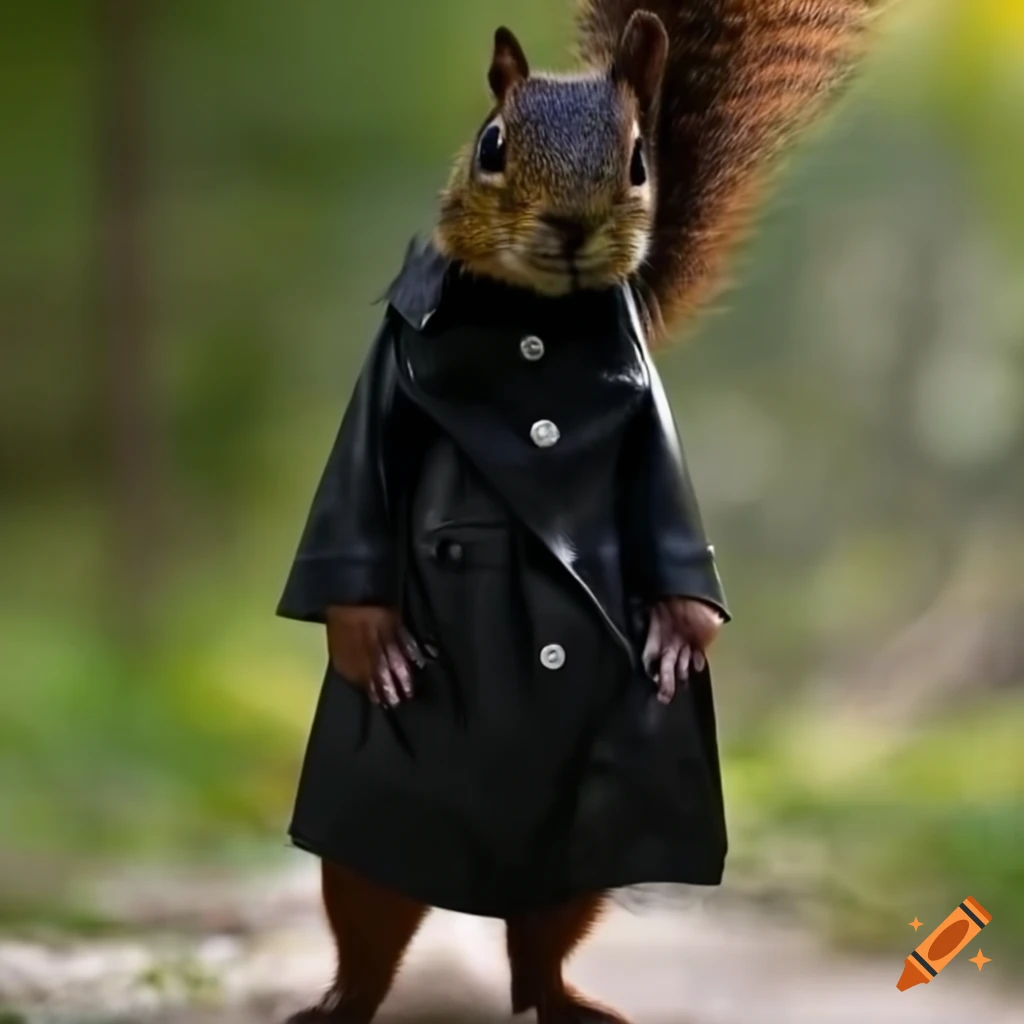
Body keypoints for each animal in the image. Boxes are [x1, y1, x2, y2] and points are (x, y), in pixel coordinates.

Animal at [280, 3, 884, 1024]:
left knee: (546, 927)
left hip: (585, 858)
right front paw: (364, 634)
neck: (535, 321)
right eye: (491, 145)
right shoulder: (392, 359)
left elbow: (659, 483)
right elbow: (361, 479)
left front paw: (685, 624)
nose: (571, 225)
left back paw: (560, 999)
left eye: (639, 163)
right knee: (371, 907)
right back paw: (344, 1003)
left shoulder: (646, 403)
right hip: (372, 838)